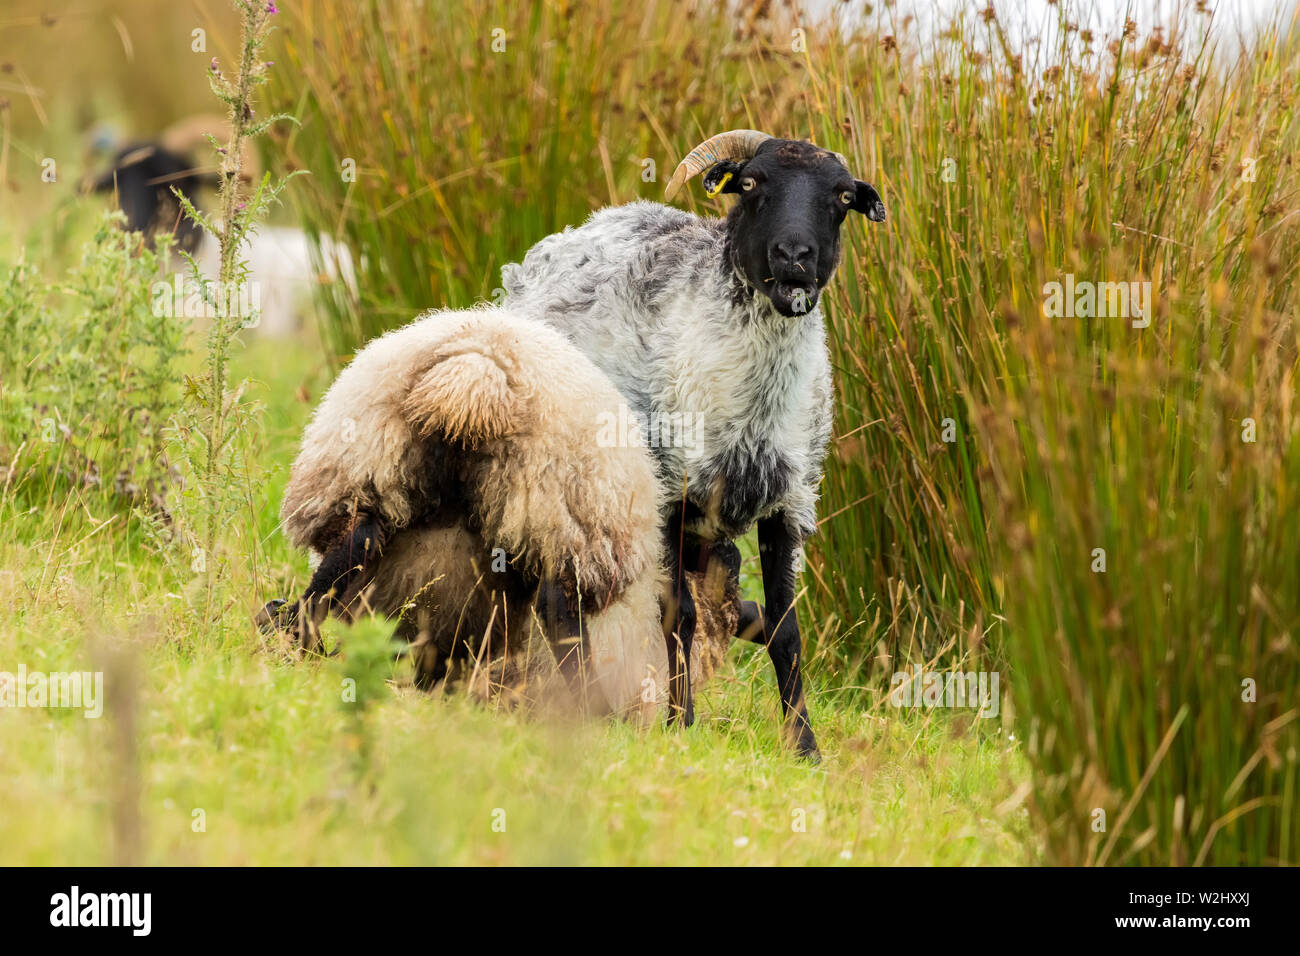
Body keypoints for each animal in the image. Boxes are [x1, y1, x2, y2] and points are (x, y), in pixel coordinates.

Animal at [260, 305, 738, 718]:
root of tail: (474, 372)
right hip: (558, 509)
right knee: (556, 603)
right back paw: (592, 713)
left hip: (365, 467)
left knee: (358, 539)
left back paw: (288, 631)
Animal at [501, 130, 888, 759]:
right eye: (750, 183)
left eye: (843, 197)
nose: (794, 255)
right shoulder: (670, 496)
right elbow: (677, 616)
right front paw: (681, 725)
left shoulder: (788, 503)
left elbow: (785, 630)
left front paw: (805, 746)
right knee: (559, 599)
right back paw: (588, 708)